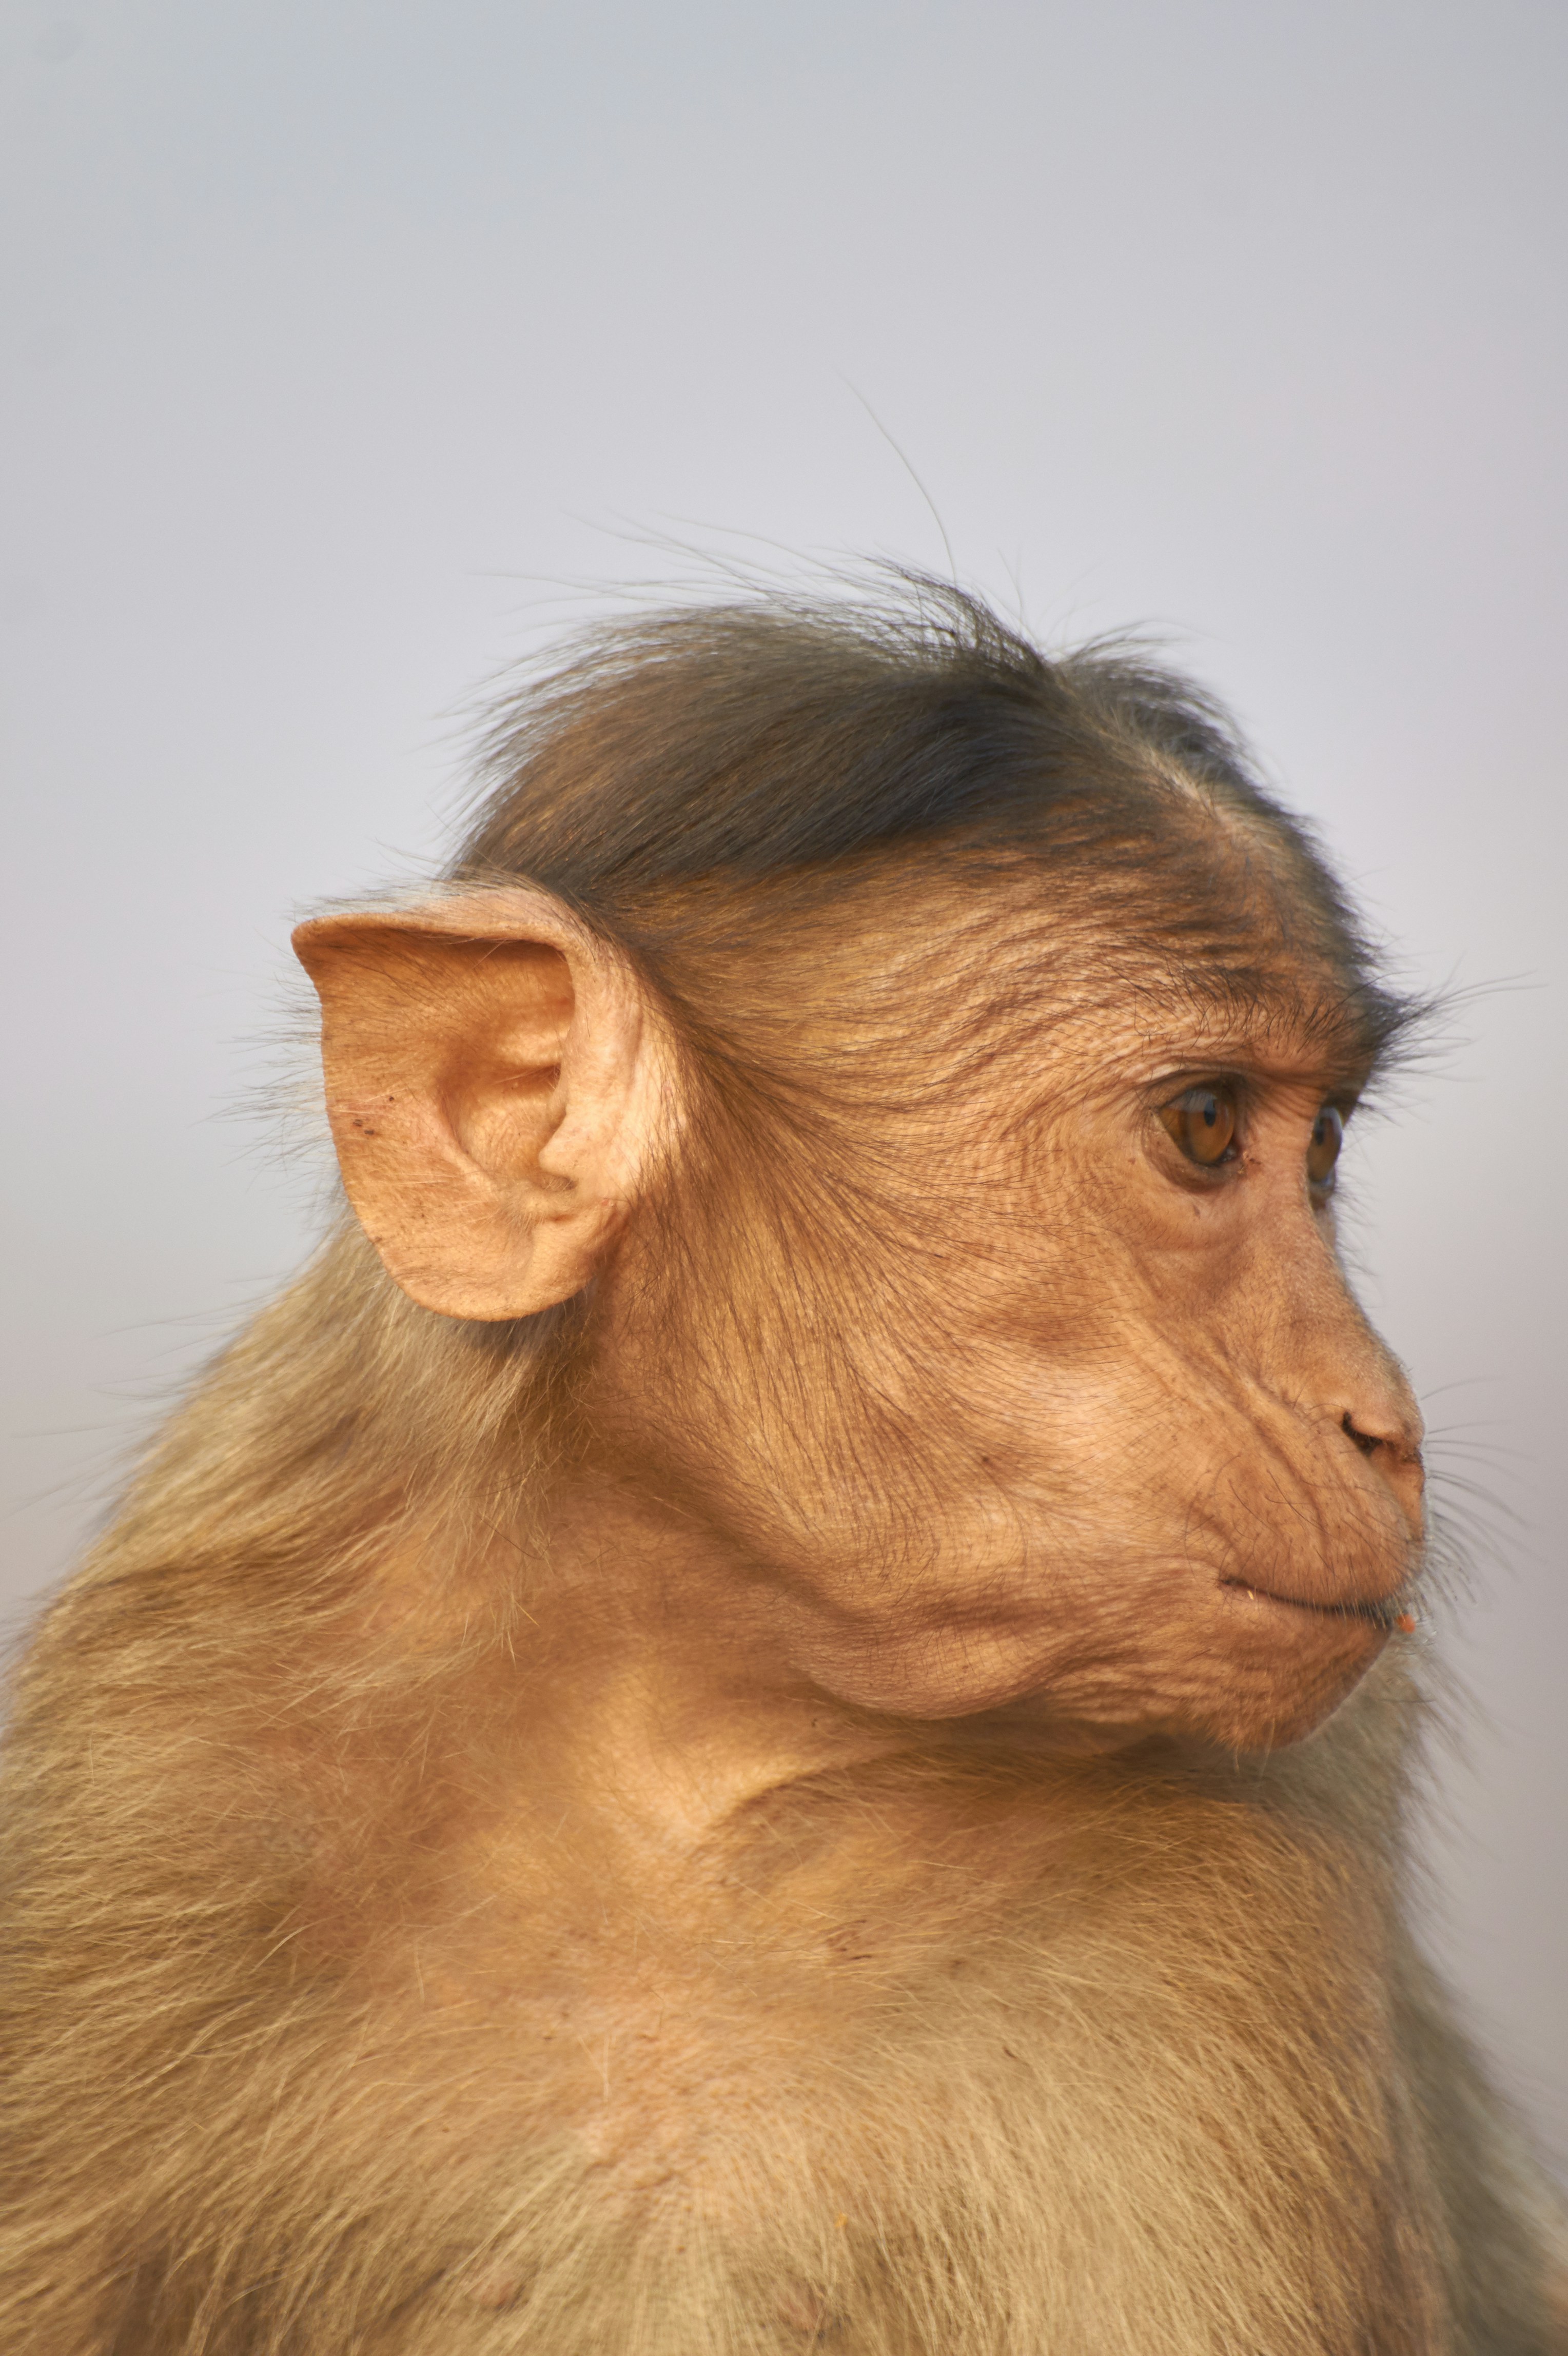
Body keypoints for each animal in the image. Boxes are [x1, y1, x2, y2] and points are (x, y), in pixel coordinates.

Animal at [0, 578, 1563, 2356]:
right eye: (1205, 1127)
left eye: (1322, 1151)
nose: (1378, 1415)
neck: (686, 1752)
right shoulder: (158, 1766)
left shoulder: (1239, 1888)